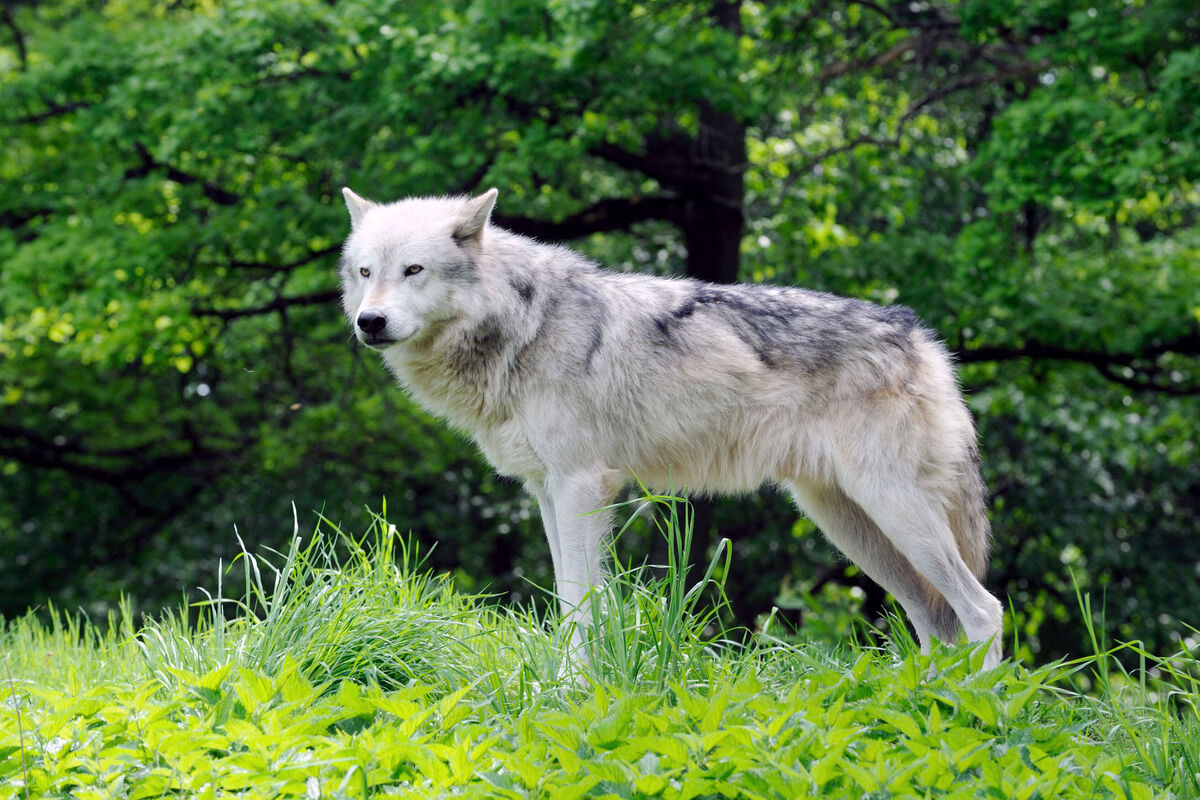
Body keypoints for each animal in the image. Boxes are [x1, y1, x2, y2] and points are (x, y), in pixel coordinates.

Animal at [337, 187, 1004, 668]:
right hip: (851, 525)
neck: (525, 324)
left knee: (983, 610)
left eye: (414, 270)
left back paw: (983, 713)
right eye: (366, 272)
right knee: (935, 622)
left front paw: (572, 690)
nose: (369, 323)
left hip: (893, 512)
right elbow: (566, 598)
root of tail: (923, 339)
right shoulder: (547, 492)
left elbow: (581, 606)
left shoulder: (583, 486)